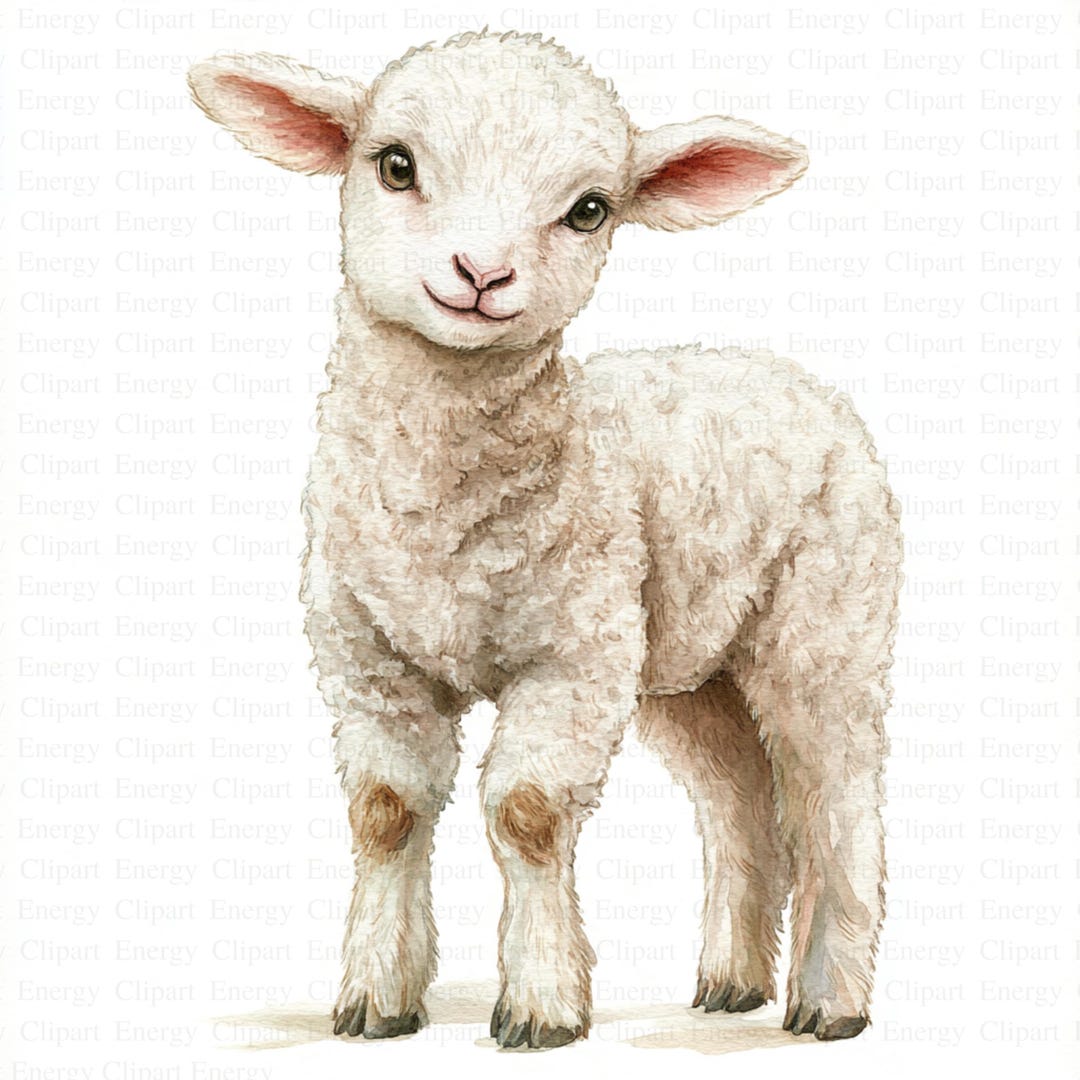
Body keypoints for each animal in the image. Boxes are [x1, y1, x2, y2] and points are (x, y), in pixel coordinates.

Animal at [187, 30, 902, 1051]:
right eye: (394, 164)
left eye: (588, 209)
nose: (481, 275)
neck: (442, 525)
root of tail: (782, 372)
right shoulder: (367, 656)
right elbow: (385, 811)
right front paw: (375, 1000)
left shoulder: (571, 659)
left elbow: (525, 814)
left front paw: (541, 1004)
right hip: (686, 670)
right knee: (737, 803)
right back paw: (730, 982)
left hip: (826, 625)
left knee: (836, 800)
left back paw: (830, 1000)